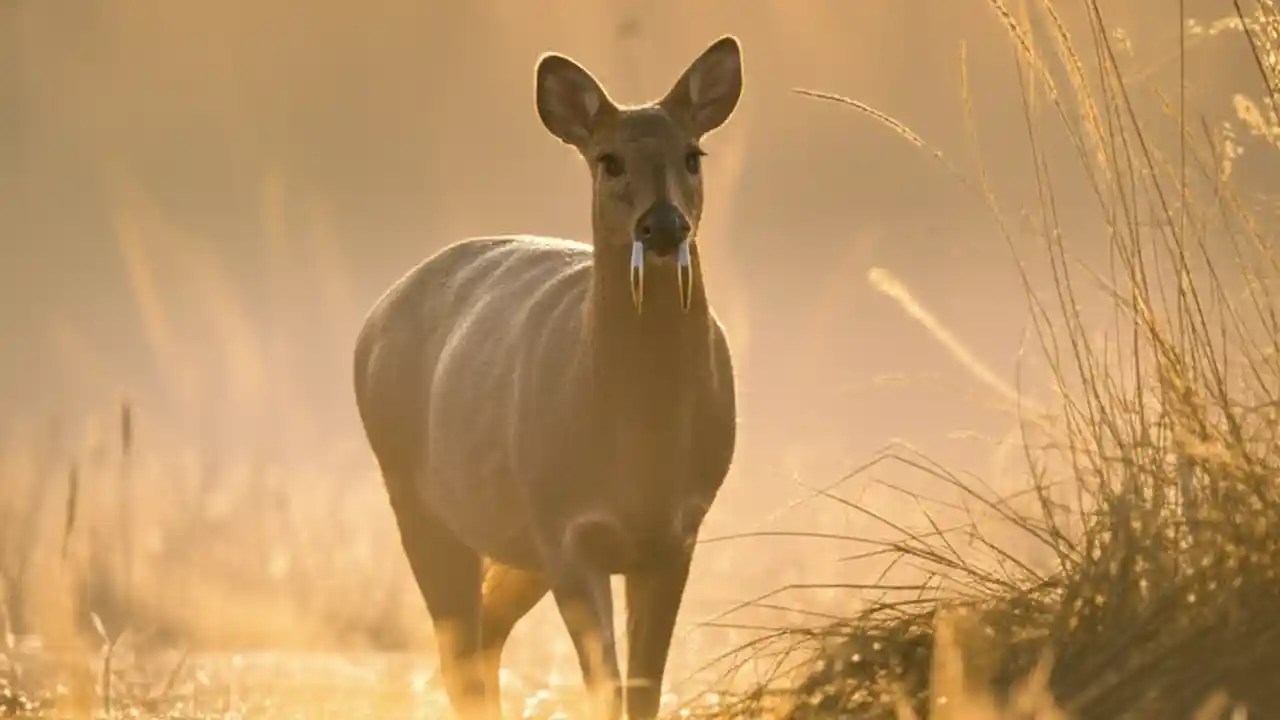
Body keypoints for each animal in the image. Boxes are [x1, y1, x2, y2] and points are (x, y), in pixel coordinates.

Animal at [352, 36, 743, 720]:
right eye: (609, 160)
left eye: (693, 156)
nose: (664, 226)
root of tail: (370, 323)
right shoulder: (566, 527)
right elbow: (606, 687)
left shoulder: (677, 533)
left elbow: (643, 690)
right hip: (417, 500)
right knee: (459, 650)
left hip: (513, 541)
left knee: (484, 637)